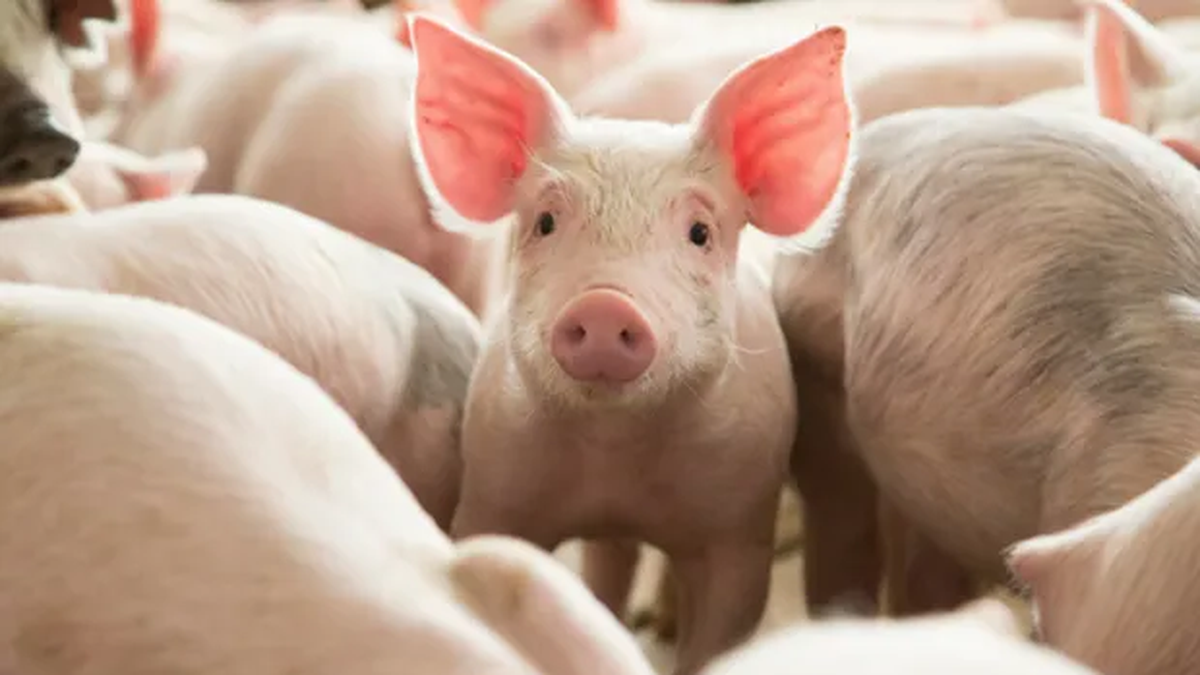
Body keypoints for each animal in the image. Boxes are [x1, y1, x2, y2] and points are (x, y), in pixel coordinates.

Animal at [403, 15, 853, 674]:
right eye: (545, 222)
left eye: (700, 232)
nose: (605, 305)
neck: (617, 451)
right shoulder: (494, 486)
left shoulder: (740, 525)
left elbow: (721, 625)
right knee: (610, 562)